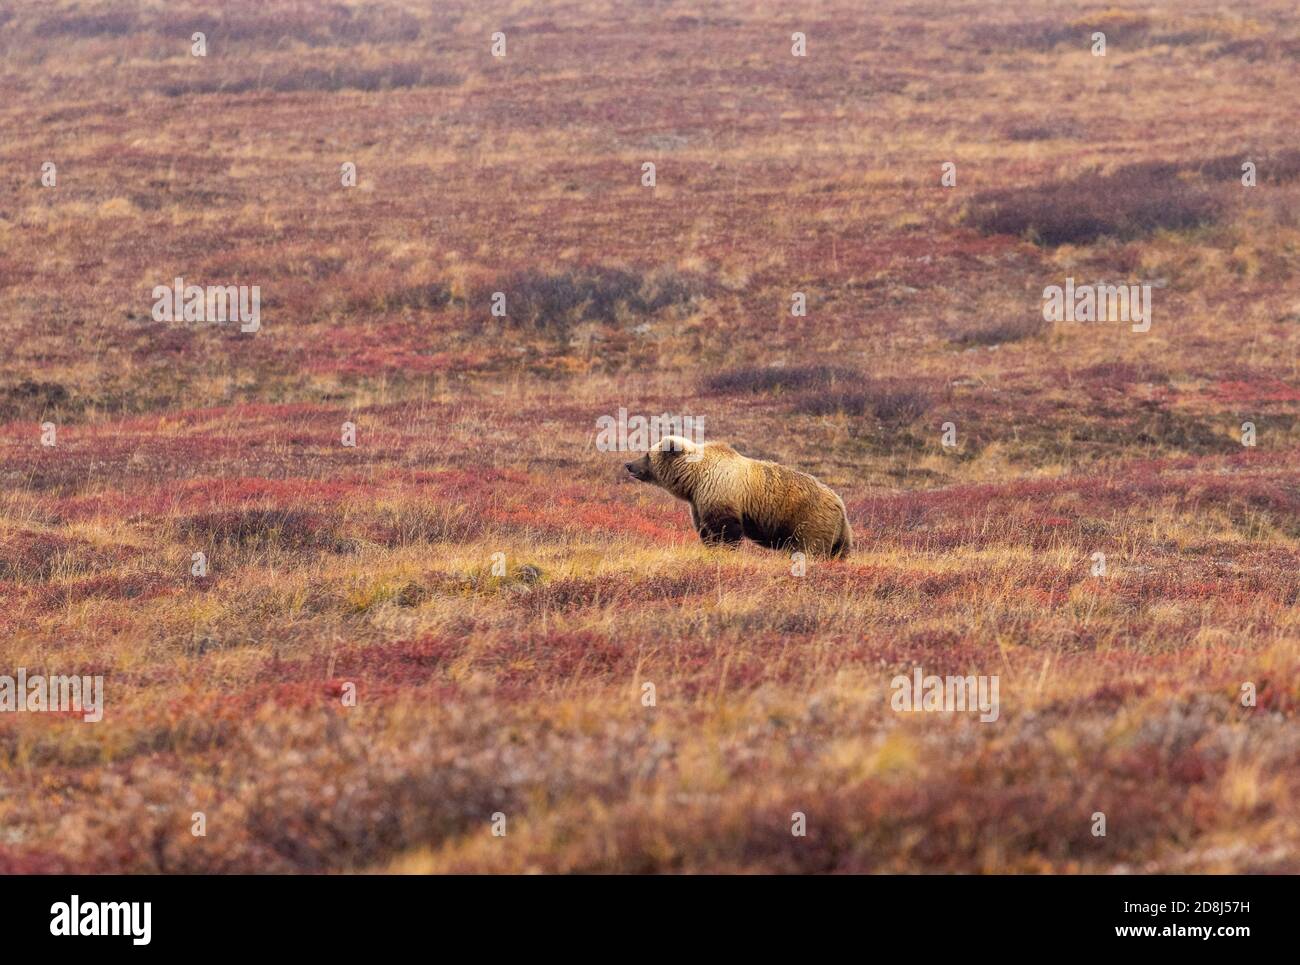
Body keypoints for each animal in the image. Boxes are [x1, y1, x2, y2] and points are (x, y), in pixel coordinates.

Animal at [624, 435, 852, 558]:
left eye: (647, 454)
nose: (628, 464)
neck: (694, 479)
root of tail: (840, 505)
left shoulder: (720, 493)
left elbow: (726, 530)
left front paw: (724, 551)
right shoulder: (699, 502)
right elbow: (706, 531)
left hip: (808, 519)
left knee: (808, 549)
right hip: (837, 533)